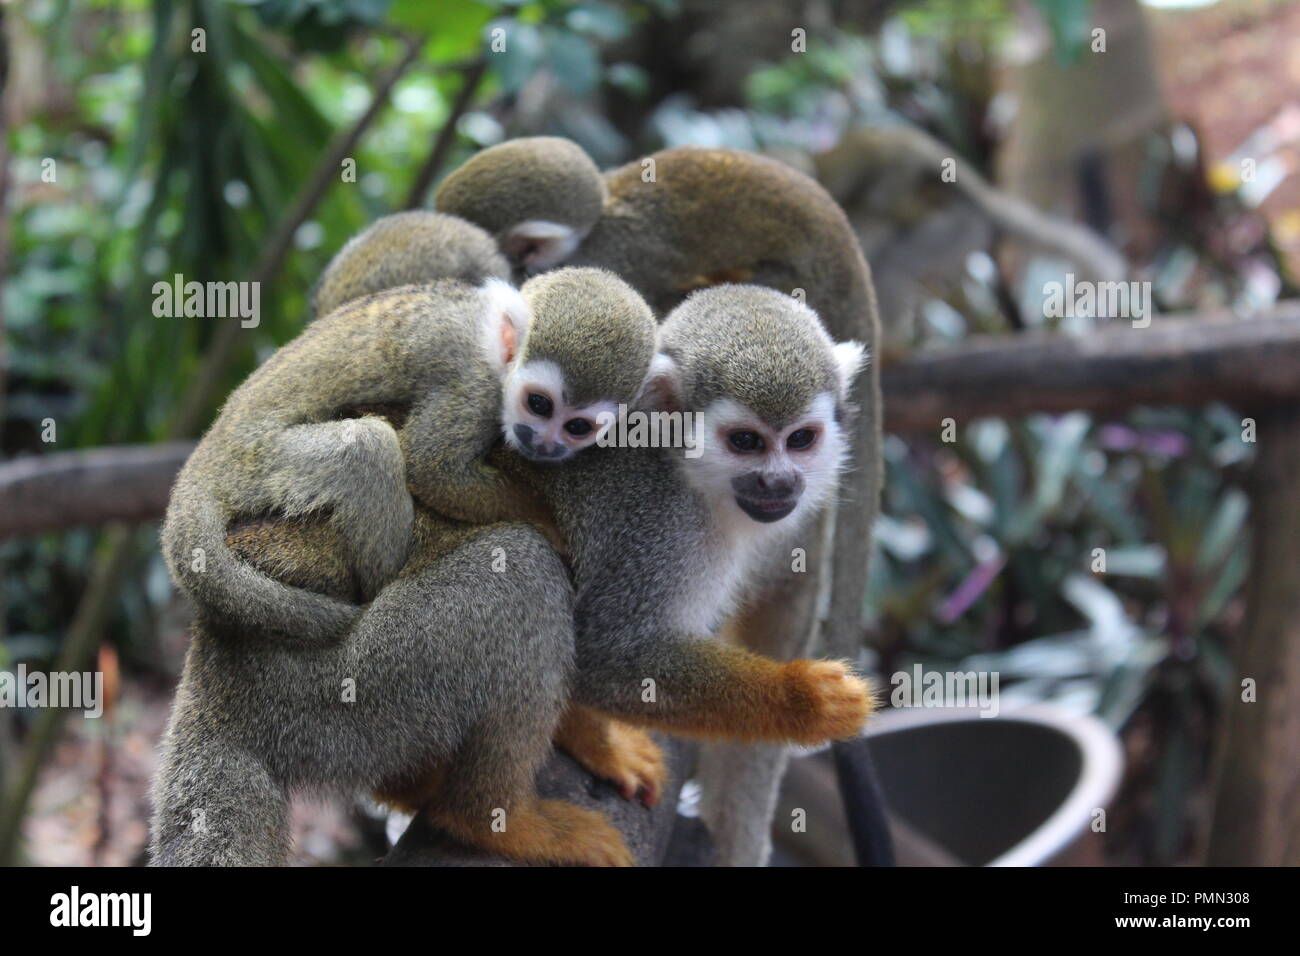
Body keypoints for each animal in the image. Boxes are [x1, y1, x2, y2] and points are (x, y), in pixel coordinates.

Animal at [161, 248, 659, 646]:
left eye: (576, 426)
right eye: (539, 404)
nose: (543, 444)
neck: (499, 350)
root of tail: (207, 454)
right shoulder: (475, 384)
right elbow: (431, 467)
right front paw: (546, 521)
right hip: (259, 460)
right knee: (367, 449)